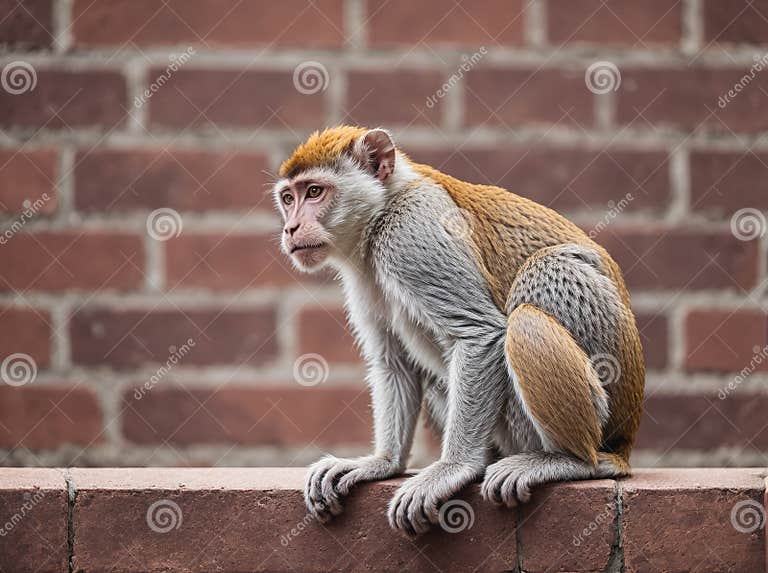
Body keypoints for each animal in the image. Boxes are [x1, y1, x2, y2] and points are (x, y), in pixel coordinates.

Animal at [273, 126, 644, 535]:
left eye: (314, 192)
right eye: (288, 198)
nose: (291, 228)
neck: (383, 209)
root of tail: (625, 442)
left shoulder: (411, 235)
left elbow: (478, 334)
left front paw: (452, 468)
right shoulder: (364, 273)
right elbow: (394, 363)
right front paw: (381, 463)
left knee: (541, 283)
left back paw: (571, 460)